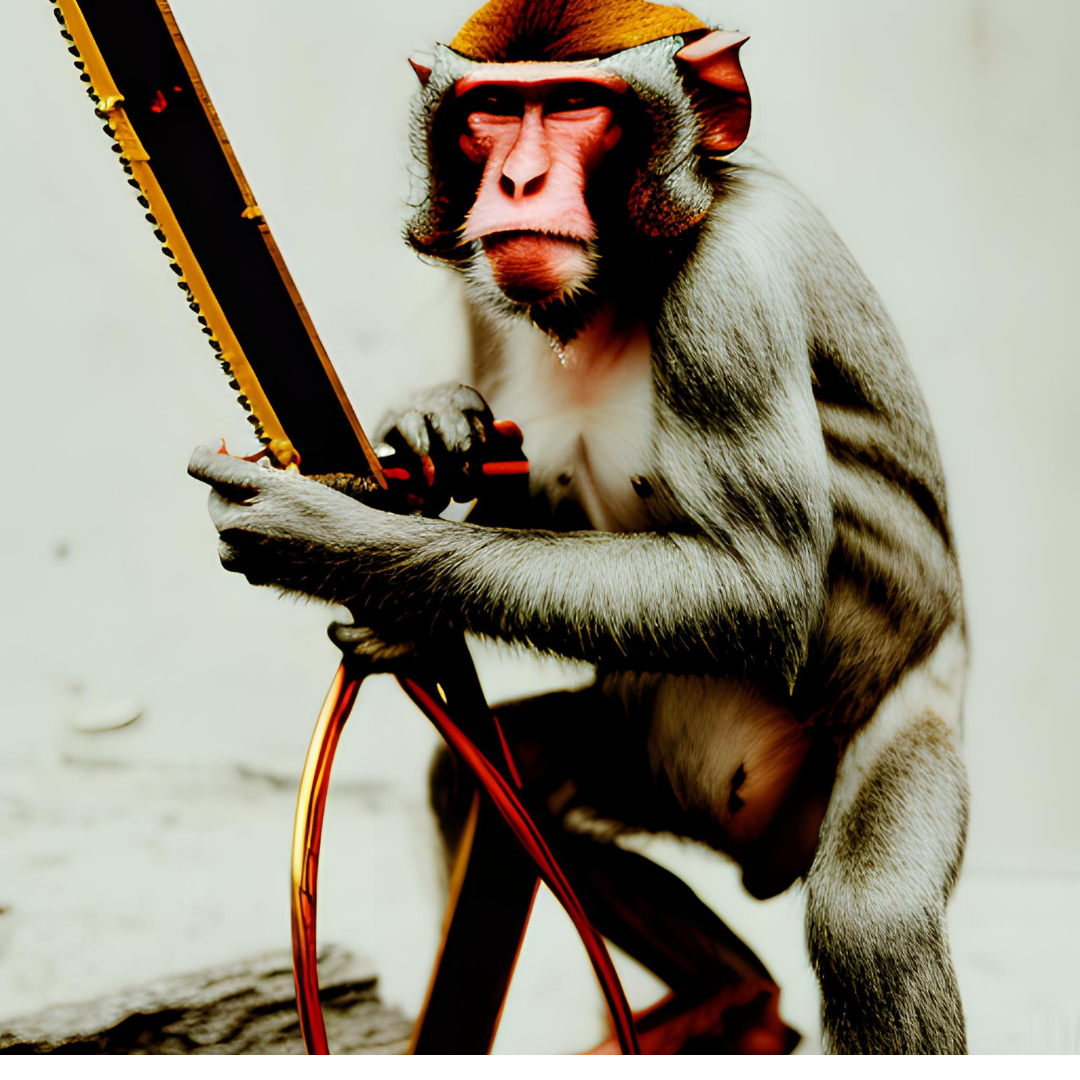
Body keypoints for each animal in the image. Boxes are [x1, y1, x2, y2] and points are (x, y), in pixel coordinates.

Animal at [188, 0, 969, 1055]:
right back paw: (734, 1000)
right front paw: (433, 430)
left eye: (570, 106)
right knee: (499, 785)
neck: (621, 278)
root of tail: (762, 850)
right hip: (641, 746)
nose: (517, 178)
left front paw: (335, 542)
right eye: (490, 112)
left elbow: (757, 587)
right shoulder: (484, 294)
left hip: (910, 714)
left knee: (870, 924)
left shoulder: (732, 286)